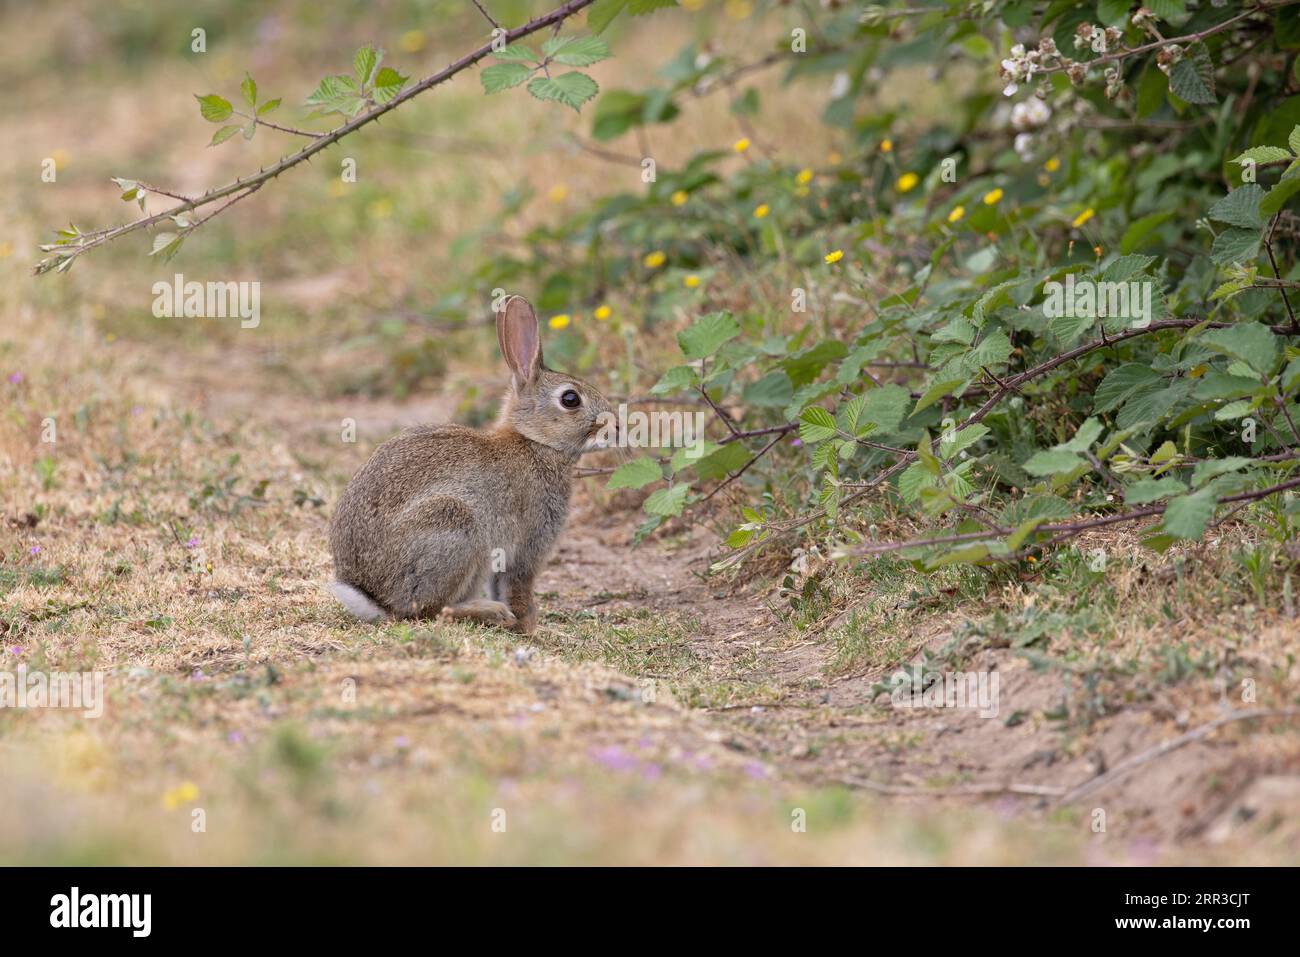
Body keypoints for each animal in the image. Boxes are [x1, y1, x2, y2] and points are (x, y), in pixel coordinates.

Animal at [328, 296, 616, 633]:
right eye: (570, 399)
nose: (616, 426)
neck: (535, 443)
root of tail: (374, 598)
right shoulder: (528, 547)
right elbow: (518, 587)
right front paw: (527, 625)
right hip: (454, 526)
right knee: (429, 610)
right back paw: (491, 613)